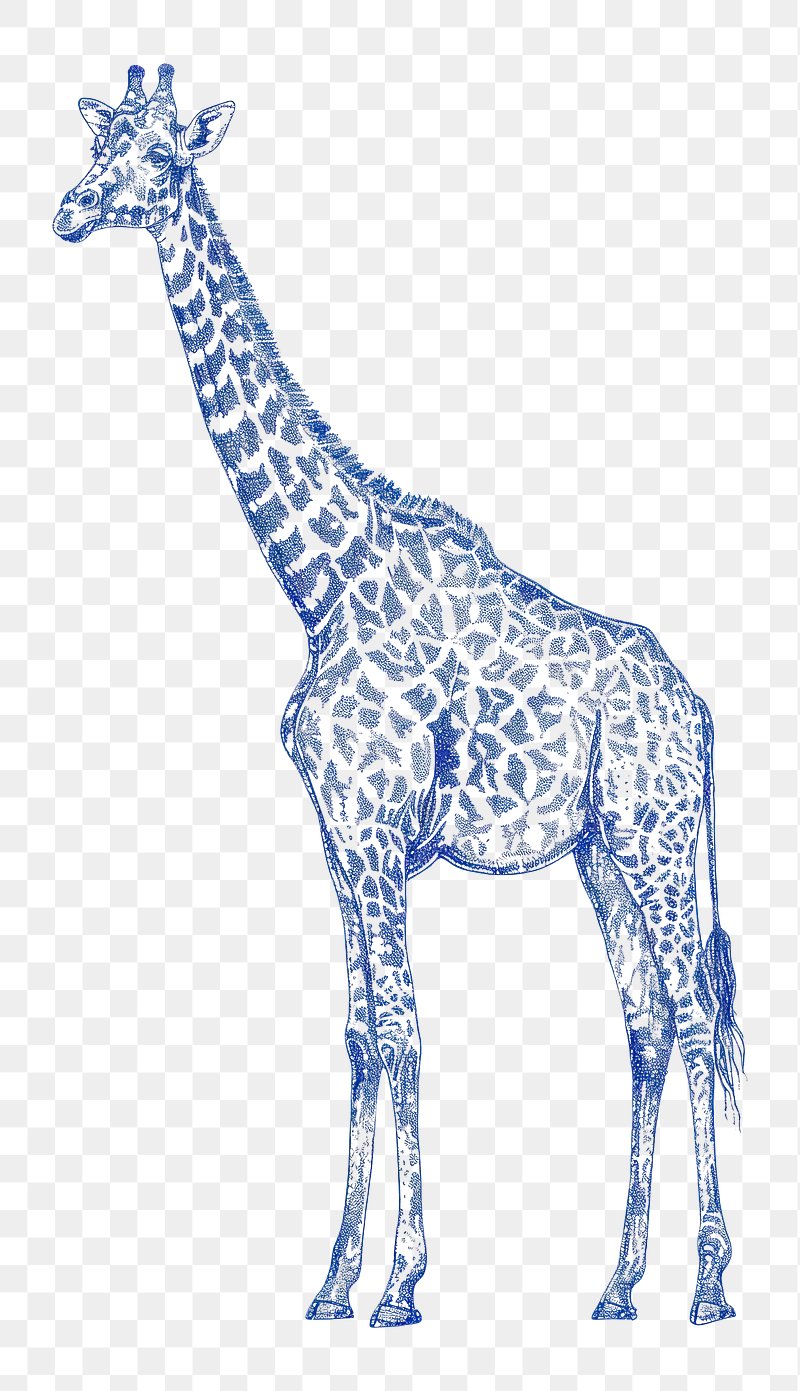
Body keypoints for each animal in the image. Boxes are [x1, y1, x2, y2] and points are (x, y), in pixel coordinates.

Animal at [54, 66, 745, 1328]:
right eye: (100, 144)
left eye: (162, 157)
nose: (69, 209)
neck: (319, 579)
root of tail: (697, 709)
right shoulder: (338, 839)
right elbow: (360, 1034)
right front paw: (332, 1277)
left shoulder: (376, 832)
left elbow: (407, 1029)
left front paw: (400, 1281)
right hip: (601, 852)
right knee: (643, 1026)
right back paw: (617, 1283)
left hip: (655, 836)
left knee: (693, 1015)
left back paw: (710, 1285)